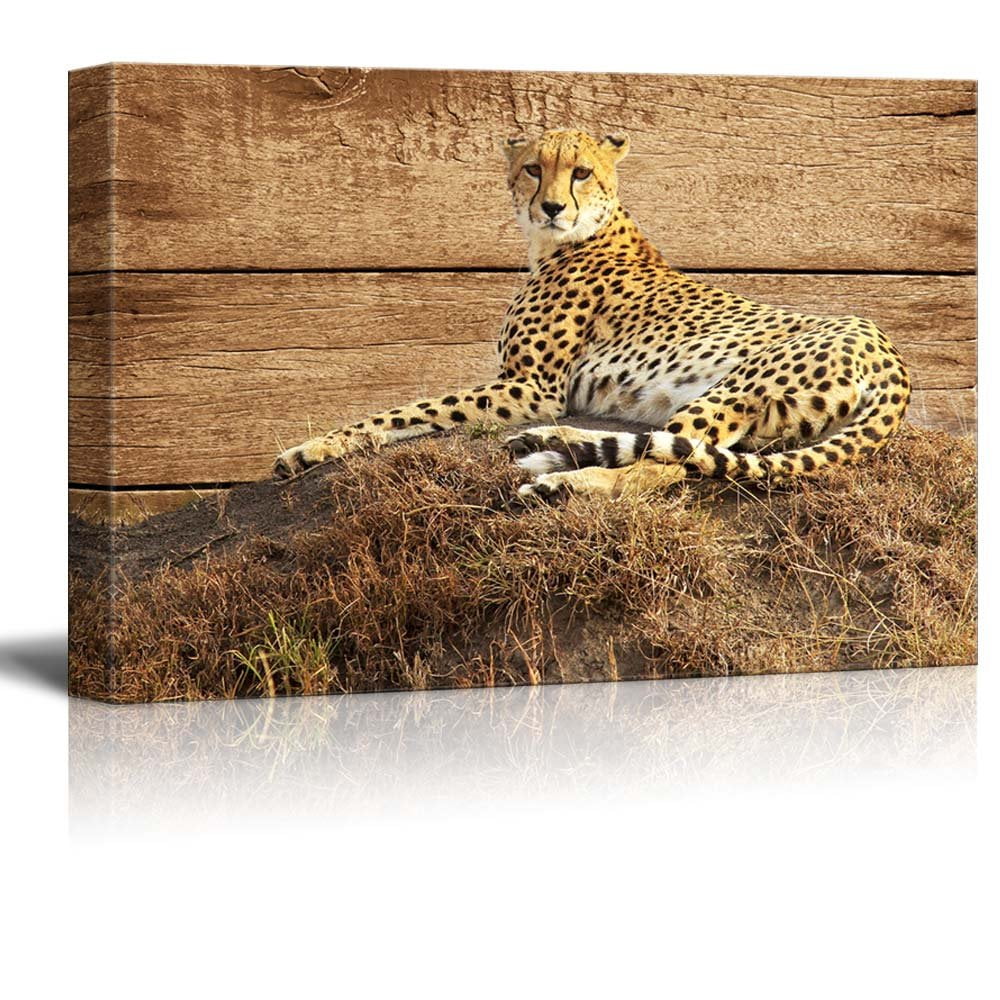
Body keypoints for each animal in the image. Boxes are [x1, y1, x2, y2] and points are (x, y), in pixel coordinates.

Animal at [273, 128, 910, 500]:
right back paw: (550, 450)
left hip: (737, 385)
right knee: (687, 452)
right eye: (534, 168)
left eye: (581, 171)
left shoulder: (531, 387)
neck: (563, 240)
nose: (553, 207)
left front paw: (308, 449)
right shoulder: (524, 385)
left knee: (668, 461)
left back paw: (564, 475)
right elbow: (415, 410)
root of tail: (891, 352)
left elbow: (409, 408)